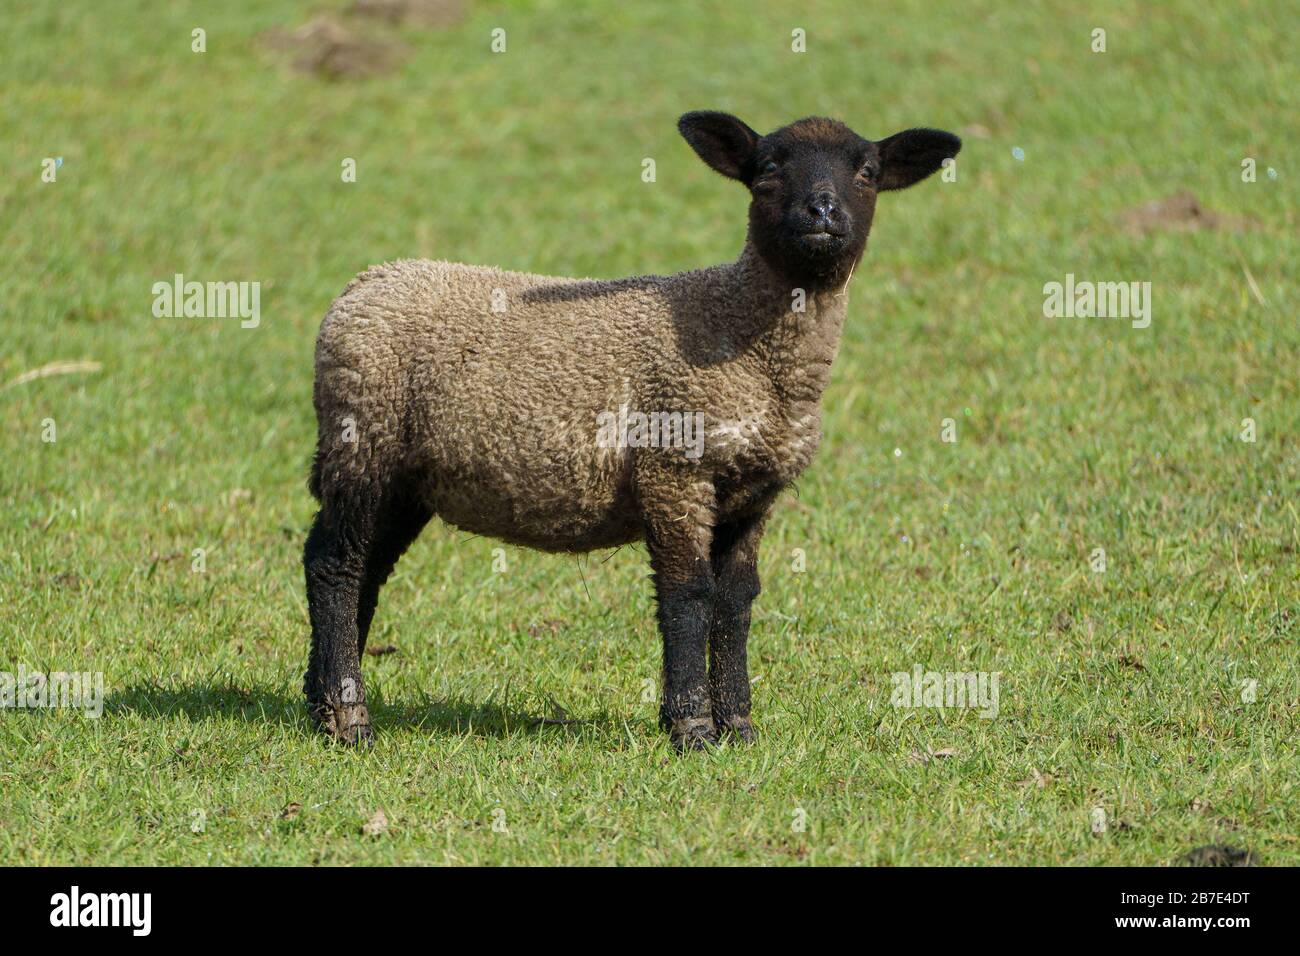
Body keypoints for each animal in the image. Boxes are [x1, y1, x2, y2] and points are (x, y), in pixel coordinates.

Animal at [305, 111, 961, 749]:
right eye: (770, 168)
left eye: (868, 171)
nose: (822, 213)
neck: (746, 339)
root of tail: (362, 284)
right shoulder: (674, 468)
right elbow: (689, 594)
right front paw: (692, 729)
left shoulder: (755, 491)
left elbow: (737, 600)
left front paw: (739, 726)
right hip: (364, 438)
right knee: (335, 566)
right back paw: (352, 721)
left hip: (405, 476)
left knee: (362, 569)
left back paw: (321, 708)